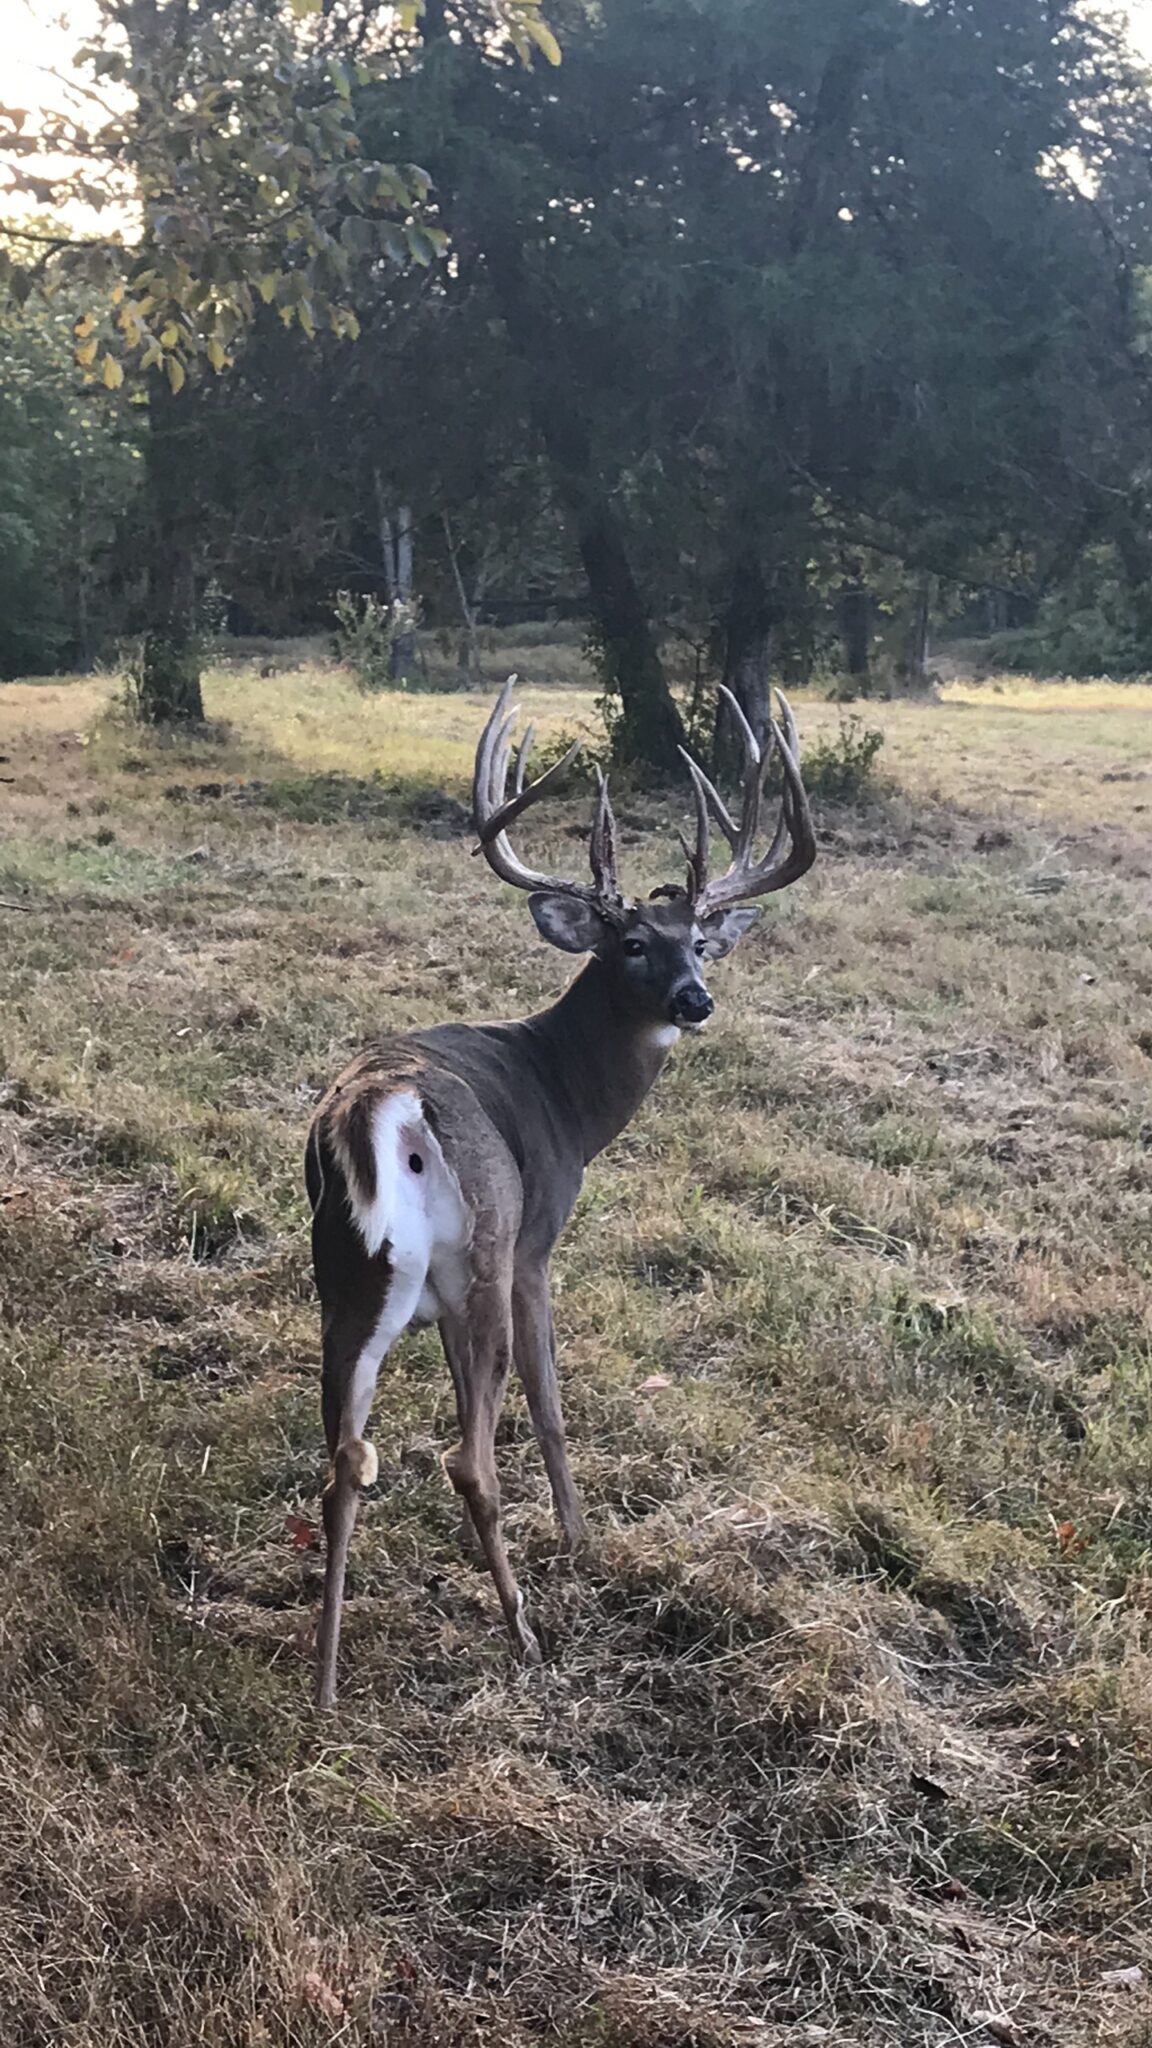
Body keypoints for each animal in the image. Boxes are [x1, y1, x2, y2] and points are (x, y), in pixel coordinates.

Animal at [306, 677, 816, 1707]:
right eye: (632, 944)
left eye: (702, 943)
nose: (697, 999)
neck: (568, 1094)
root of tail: (384, 1107)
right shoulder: (537, 1245)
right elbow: (549, 1399)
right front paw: (580, 1536)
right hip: (486, 1248)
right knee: (466, 1458)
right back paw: (524, 1633)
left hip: (348, 1277)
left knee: (345, 1457)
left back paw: (329, 1684)